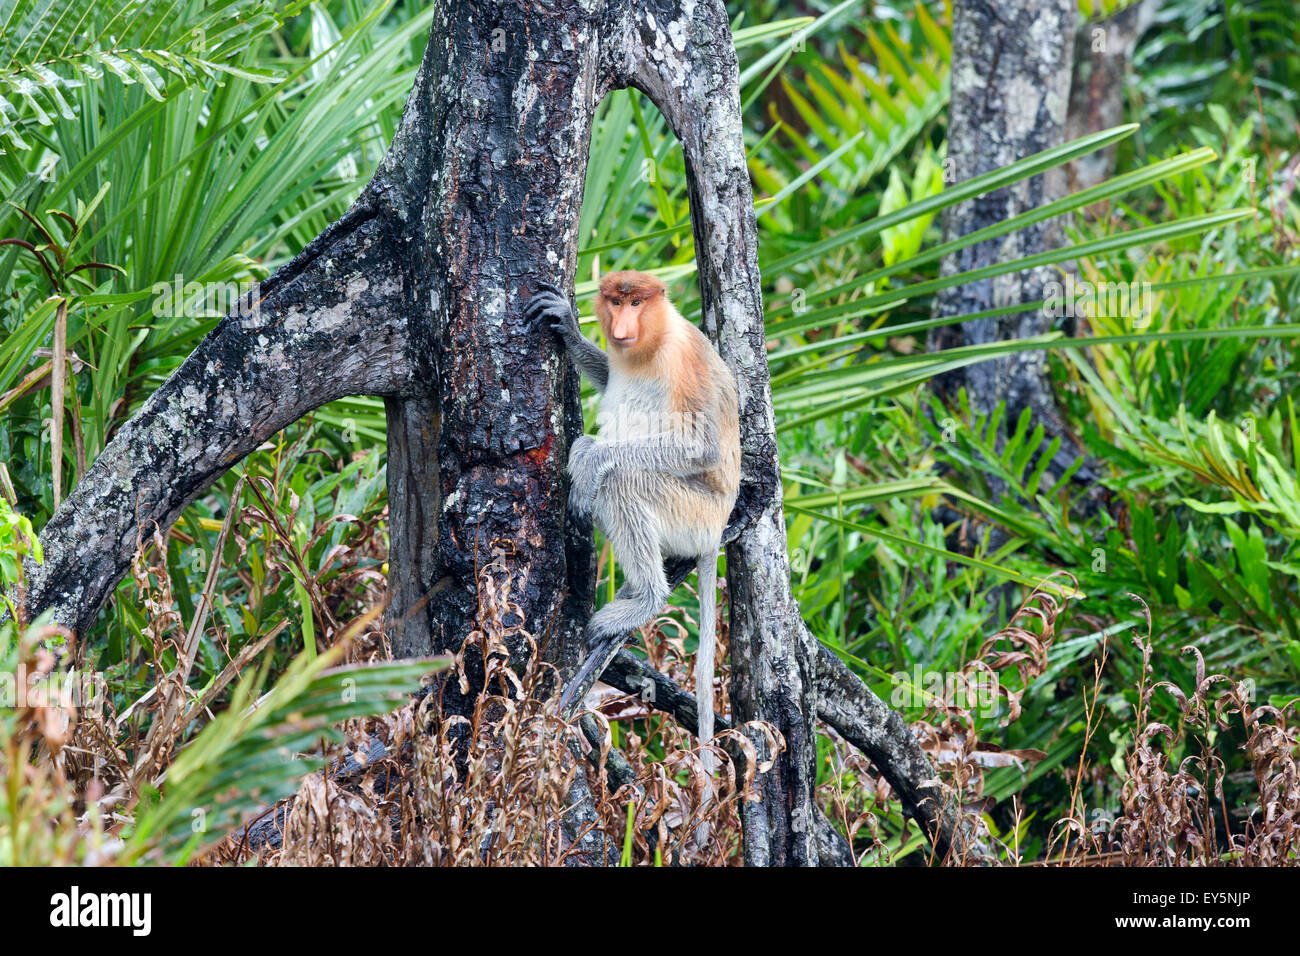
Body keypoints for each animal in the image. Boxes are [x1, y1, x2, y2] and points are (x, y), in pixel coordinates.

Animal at [525, 271, 740, 781]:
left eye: (638, 302)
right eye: (615, 301)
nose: (622, 324)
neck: (650, 343)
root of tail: (716, 529)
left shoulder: (681, 360)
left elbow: (700, 445)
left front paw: (592, 456)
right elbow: (608, 376)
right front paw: (567, 325)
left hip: (692, 514)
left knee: (621, 480)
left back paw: (644, 599)